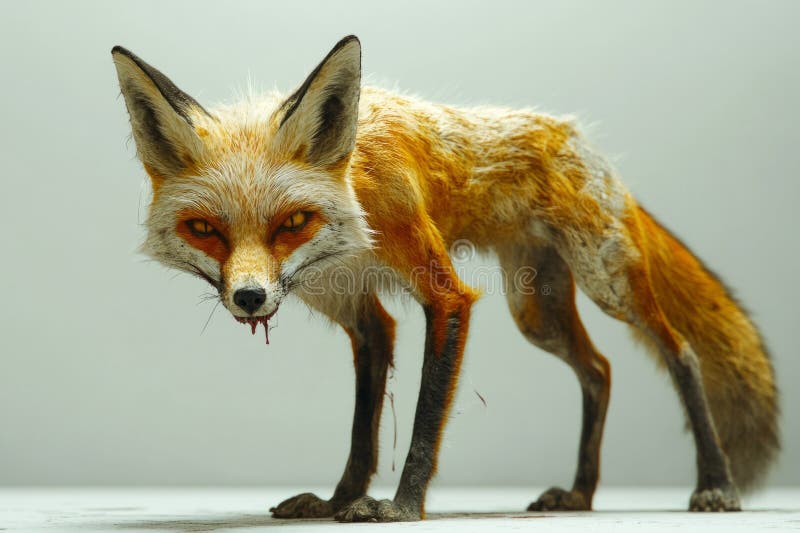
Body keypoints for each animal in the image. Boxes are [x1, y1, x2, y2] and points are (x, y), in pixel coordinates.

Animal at [111, 35, 779, 521]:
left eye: (293, 222)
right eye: (205, 229)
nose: (249, 298)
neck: (355, 210)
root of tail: (576, 136)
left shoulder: (444, 293)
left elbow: (425, 418)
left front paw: (402, 507)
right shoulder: (358, 312)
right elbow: (362, 430)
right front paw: (337, 500)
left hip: (605, 282)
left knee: (680, 351)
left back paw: (715, 485)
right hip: (536, 313)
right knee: (599, 369)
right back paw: (580, 495)